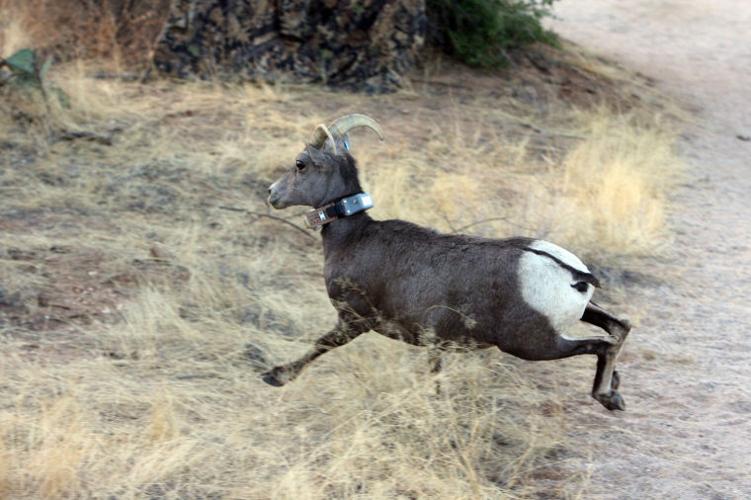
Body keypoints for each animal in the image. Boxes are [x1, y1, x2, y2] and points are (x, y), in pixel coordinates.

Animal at [264, 114, 631, 411]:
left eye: (300, 164)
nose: (271, 194)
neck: (354, 237)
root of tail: (572, 274)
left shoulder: (354, 320)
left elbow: (320, 345)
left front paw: (275, 376)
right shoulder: (431, 344)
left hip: (533, 344)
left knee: (601, 345)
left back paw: (606, 396)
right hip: (579, 315)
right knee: (619, 327)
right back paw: (613, 393)